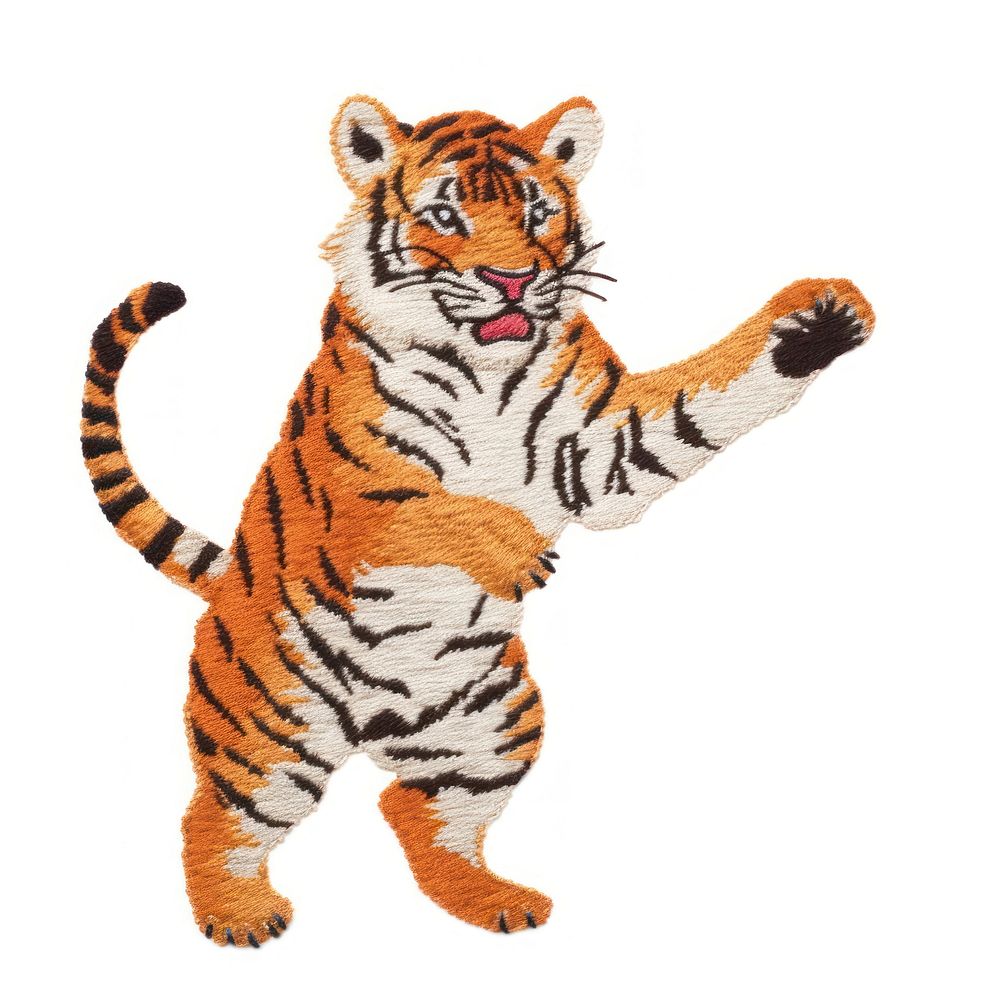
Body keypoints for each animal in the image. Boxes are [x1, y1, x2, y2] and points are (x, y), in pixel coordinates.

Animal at [81, 95, 875, 947]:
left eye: (535, 213)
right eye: (444, 215)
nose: (513, 280)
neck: (483, 370)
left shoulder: (597, 449)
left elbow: (697, 401)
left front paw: (817, 321)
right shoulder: (357, 506)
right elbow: (437, 509)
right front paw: (513, 546)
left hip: (496, 723)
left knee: (411, 806)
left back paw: (493, 898)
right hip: (268, 730)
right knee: (212, 818)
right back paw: (238, 915)